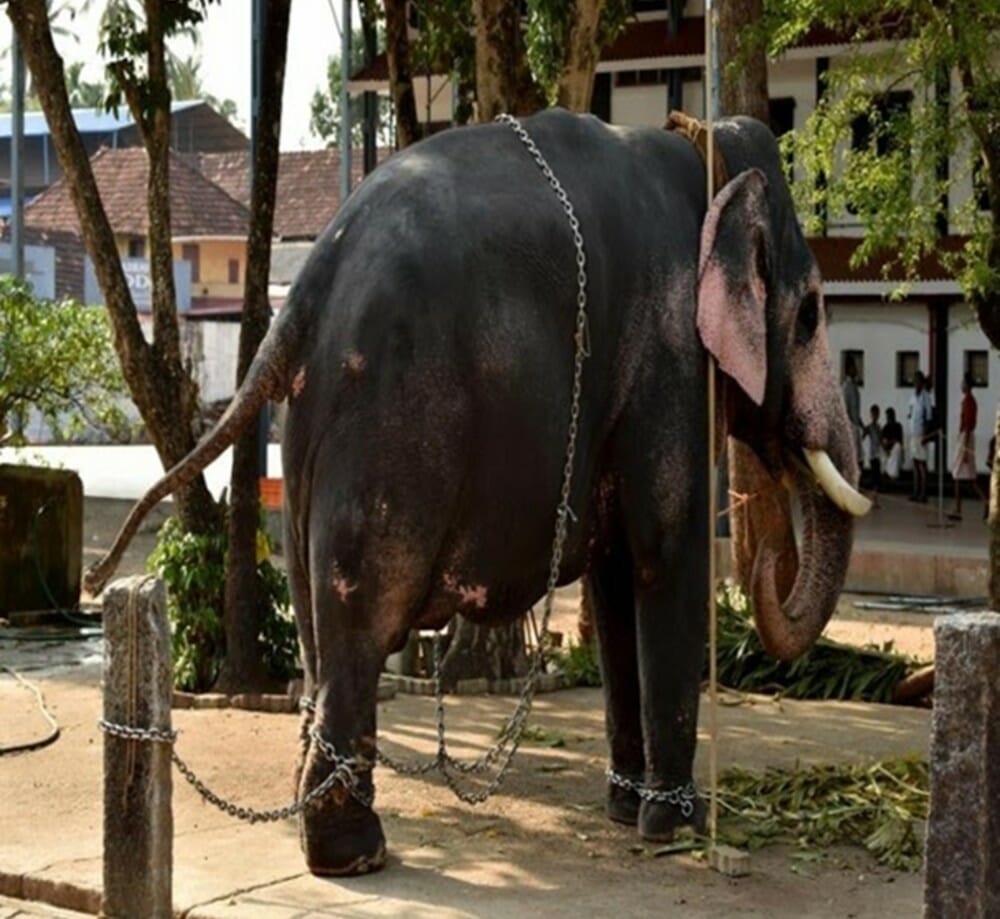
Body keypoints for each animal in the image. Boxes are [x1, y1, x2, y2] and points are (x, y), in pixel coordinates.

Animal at [87, 108, 869, 877]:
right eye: (810, 315)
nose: (764, 559)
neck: (703, 157)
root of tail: (304, 293)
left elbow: (617, 578)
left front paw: (626, 810)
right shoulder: (672, 358)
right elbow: (663, 555)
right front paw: (673, 826)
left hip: (311, 425)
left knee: (317, 626)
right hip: (397, 423)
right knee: (362, 619)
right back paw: (356, 854)